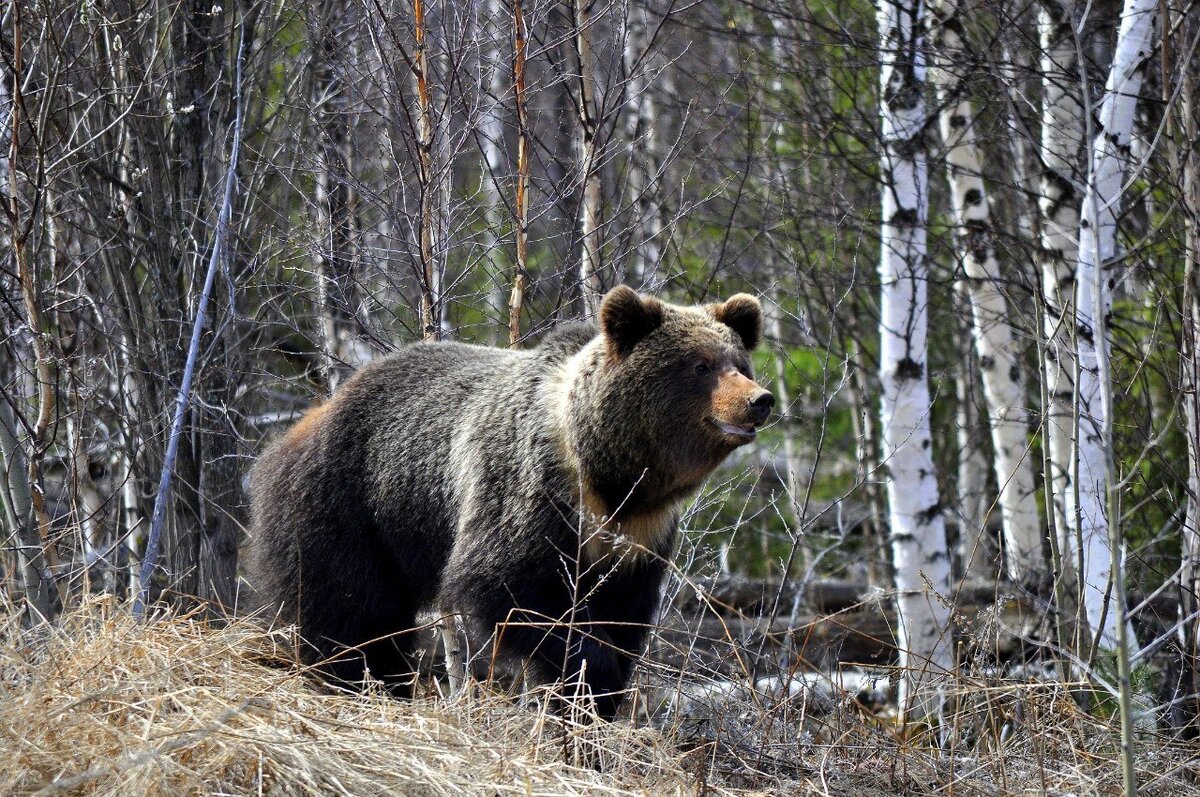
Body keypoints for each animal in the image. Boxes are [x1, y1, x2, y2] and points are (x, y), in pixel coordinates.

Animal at [248, 288, 772, 720]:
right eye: (701, 365)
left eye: (738, 363)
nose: (759, 399)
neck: (610, 476)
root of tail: (303, 423)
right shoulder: (530, 490)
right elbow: (508, 587)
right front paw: (586, 673)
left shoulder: (638, 538)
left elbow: (622, 614)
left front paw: (593, 703)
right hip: (352, 504)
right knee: (353, 608)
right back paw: (359, 680)